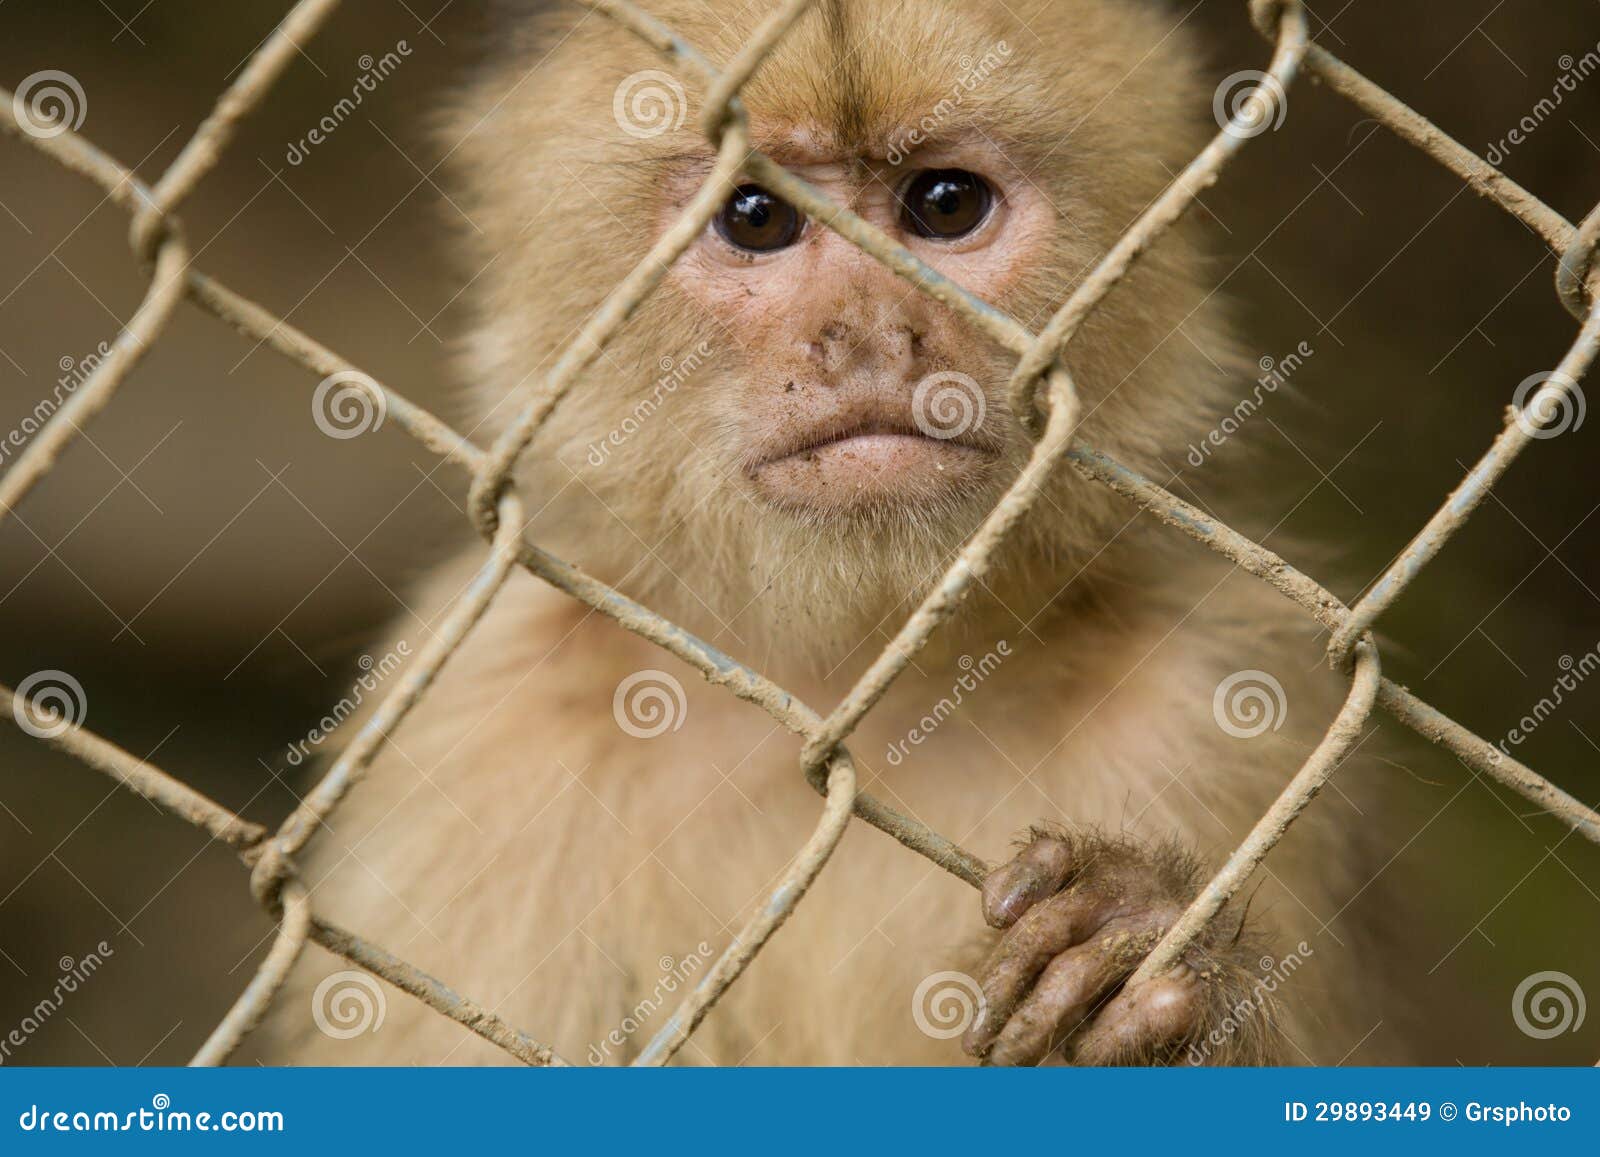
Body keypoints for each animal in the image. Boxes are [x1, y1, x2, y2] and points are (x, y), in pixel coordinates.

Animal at [256, 0, 1418, 1066]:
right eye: (756, 216)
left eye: (945, 204)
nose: (870, 334)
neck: (843, 683)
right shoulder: (477, 737)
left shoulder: (1220, 700)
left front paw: (1138, 952)